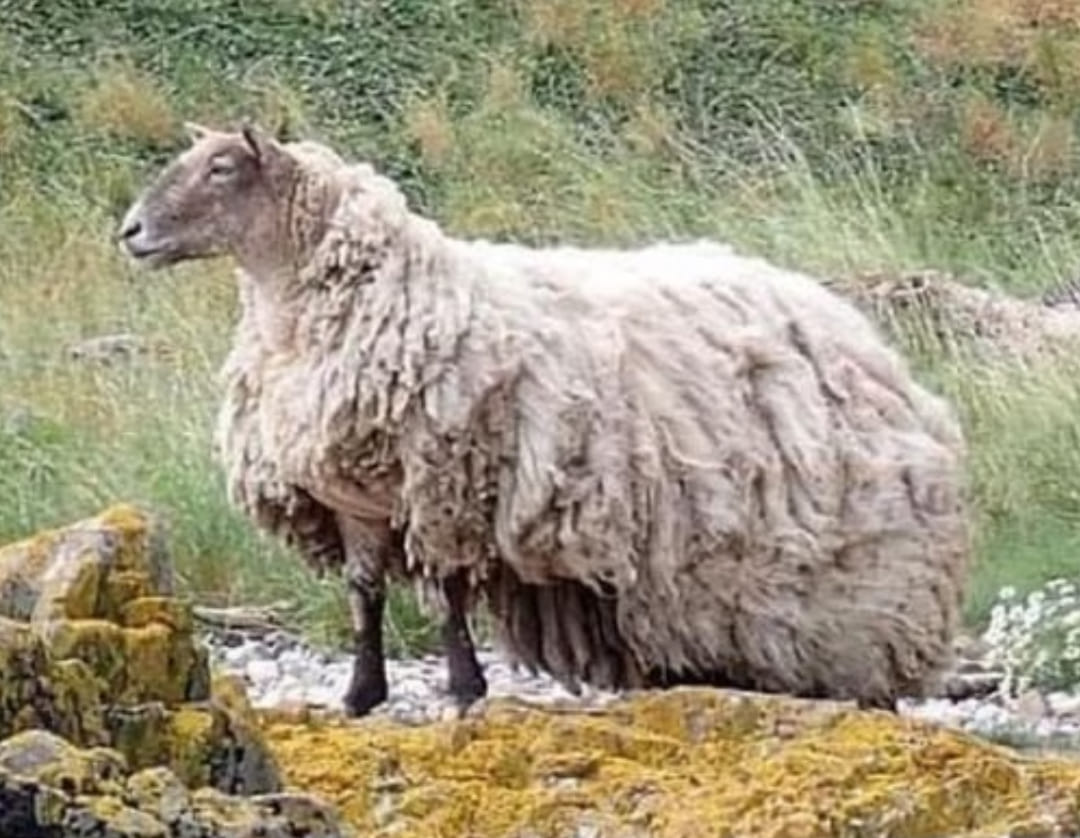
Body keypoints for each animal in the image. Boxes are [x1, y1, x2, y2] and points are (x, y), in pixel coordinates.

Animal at [117, 122, 973, 717]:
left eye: (222, 168)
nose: (129, 231)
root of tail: (871, 347)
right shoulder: (352, 496)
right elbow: (364, 597)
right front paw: (361, 696)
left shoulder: (444, 482)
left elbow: (447, 594)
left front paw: (465, 689)